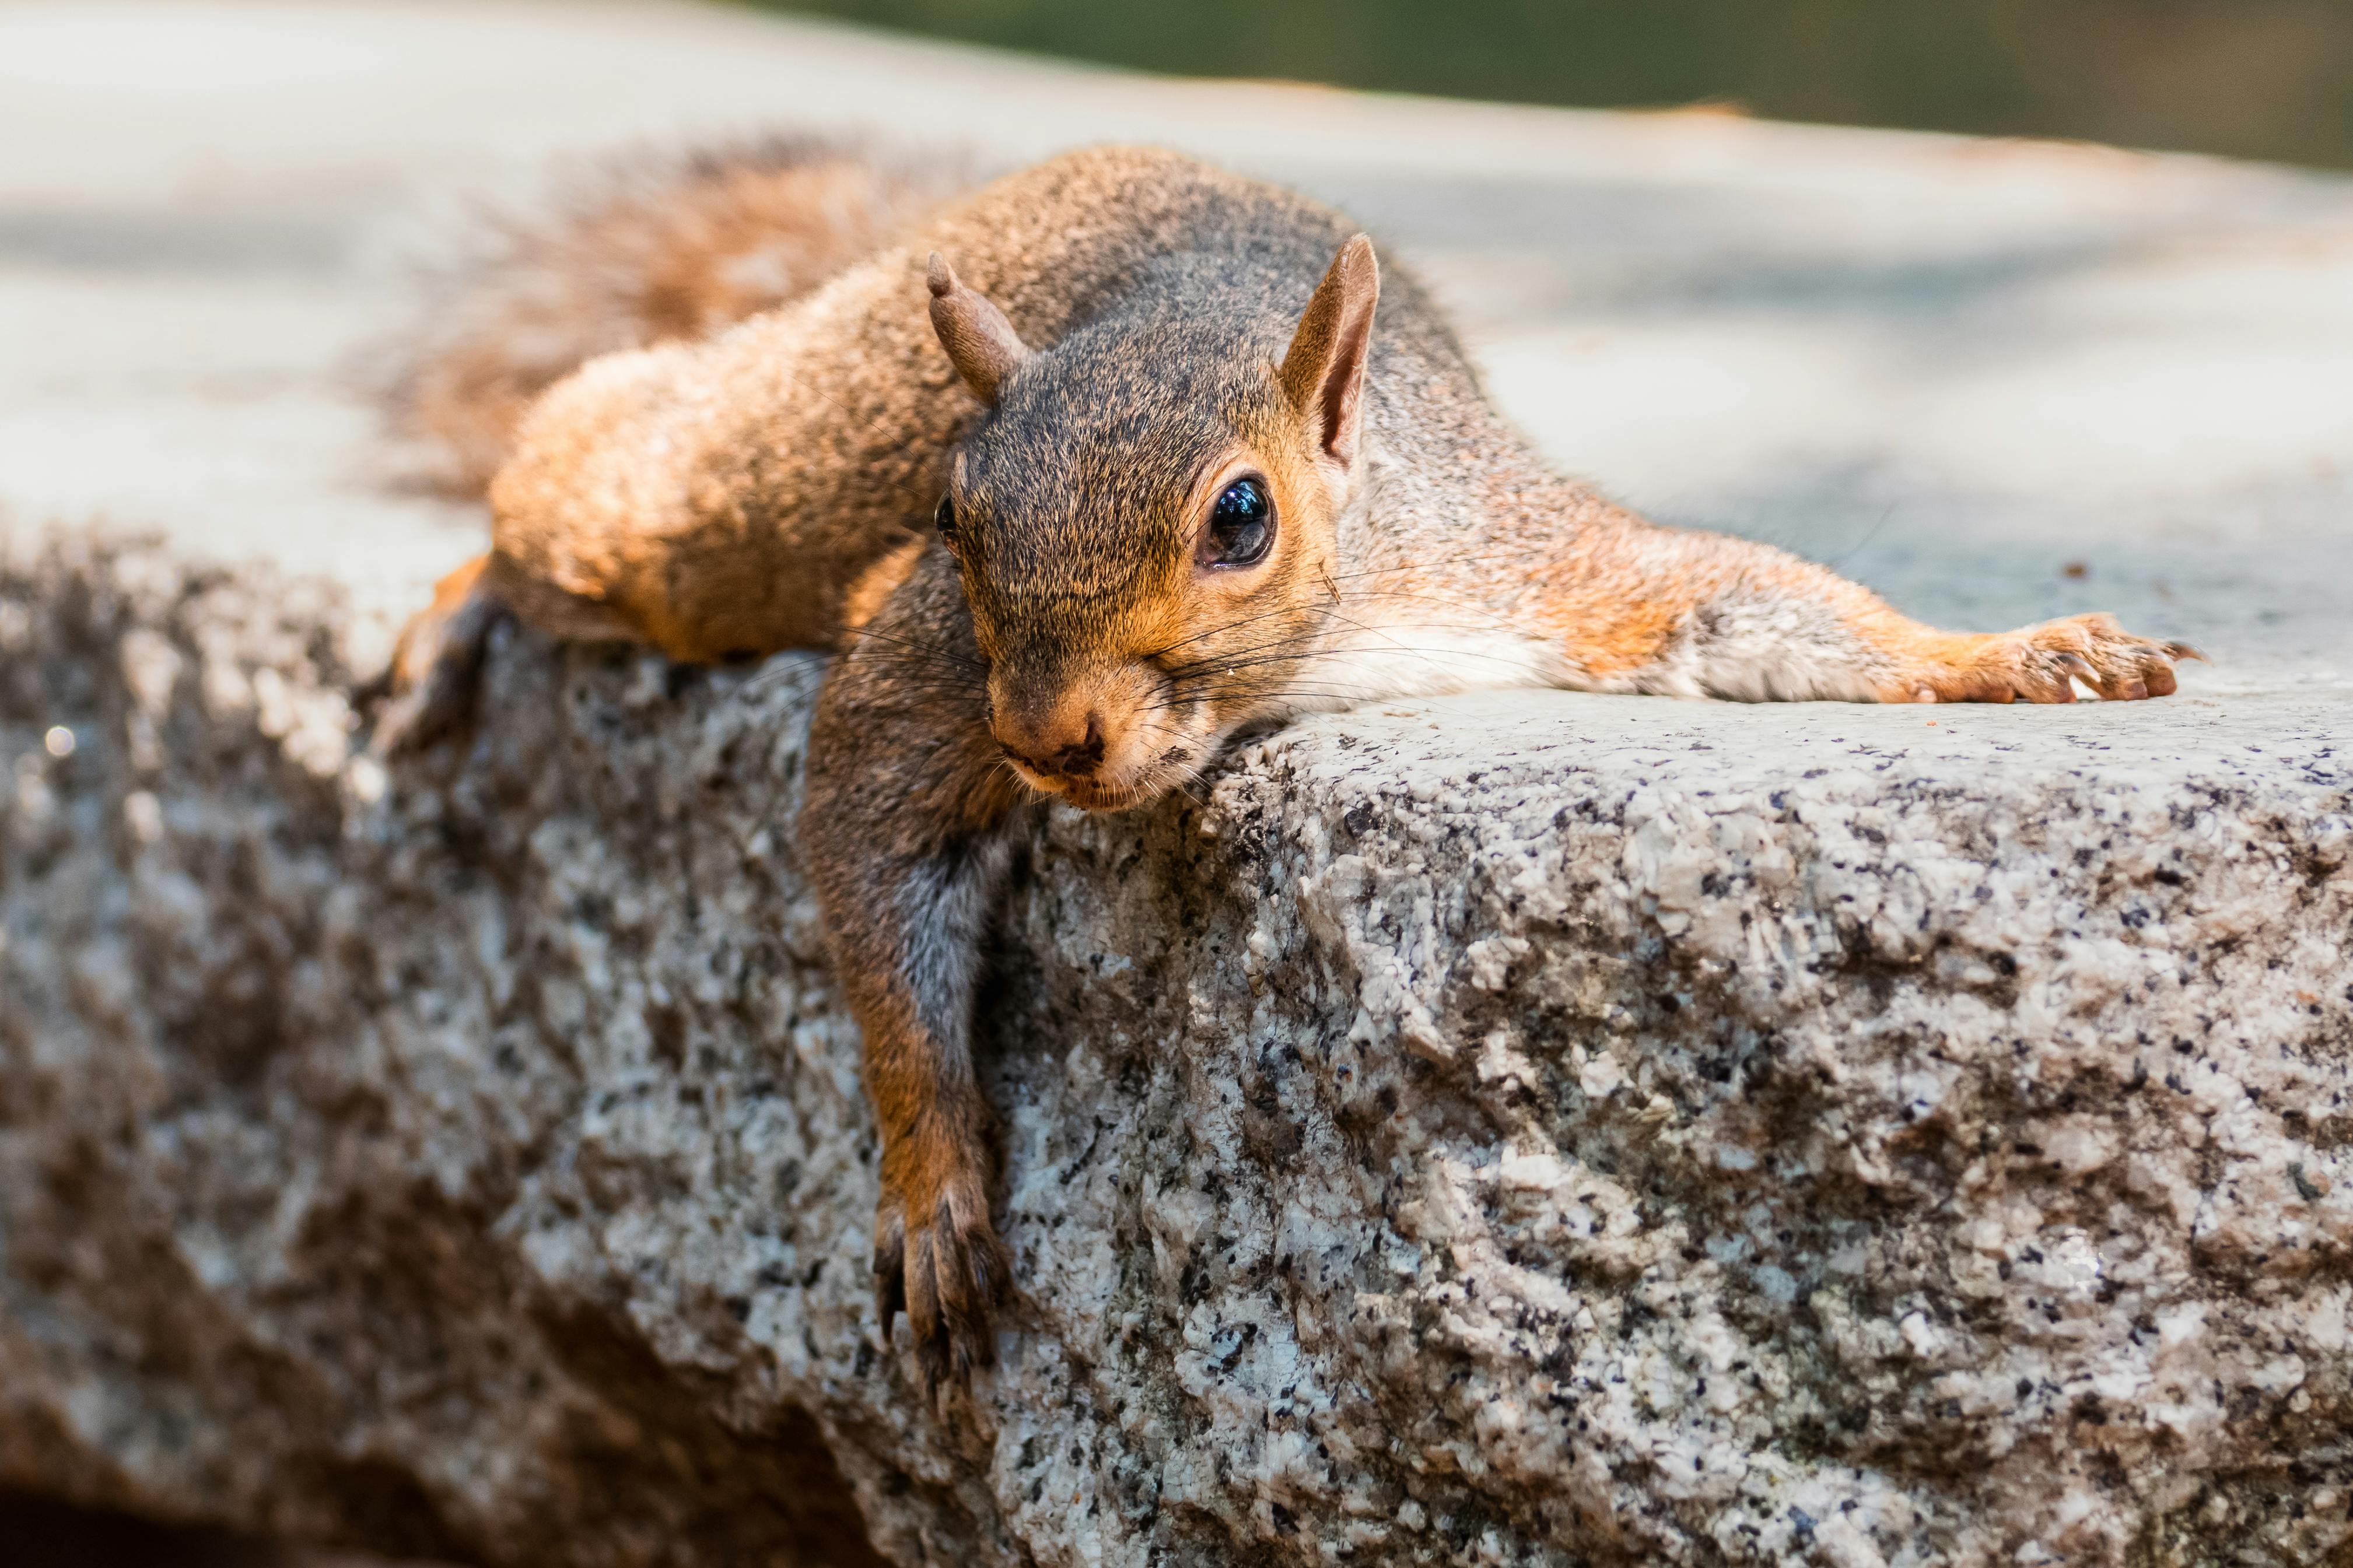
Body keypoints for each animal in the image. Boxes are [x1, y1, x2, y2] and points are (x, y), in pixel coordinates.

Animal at [374, 138, 2200, 1396]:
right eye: (952, 518)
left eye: (1240, 516)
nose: (1048, 741)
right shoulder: (928, 669)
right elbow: (867, 841)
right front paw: (934, 1178)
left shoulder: (1532, 564)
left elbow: (1756, 604)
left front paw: (2009, 656)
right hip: (736, 503)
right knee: (587, 467)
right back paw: (455, 610)